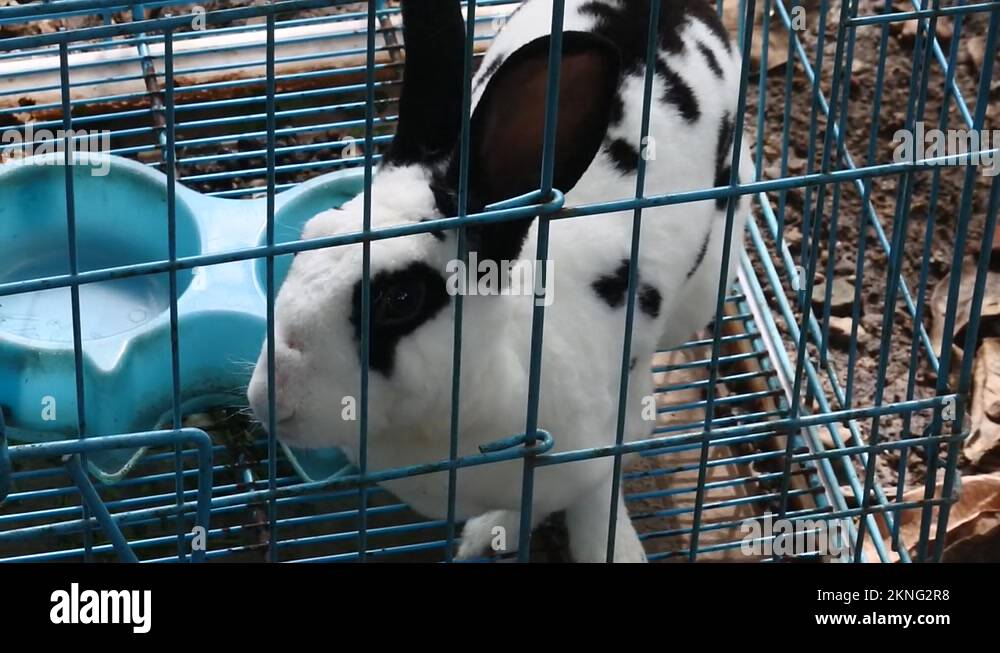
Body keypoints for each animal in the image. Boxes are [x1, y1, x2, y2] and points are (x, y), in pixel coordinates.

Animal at [247, 0, 753, 562]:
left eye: (400, 298)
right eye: (309, 236)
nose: (269, 399)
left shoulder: (594, 456)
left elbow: (596, 511)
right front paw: (489, 533)